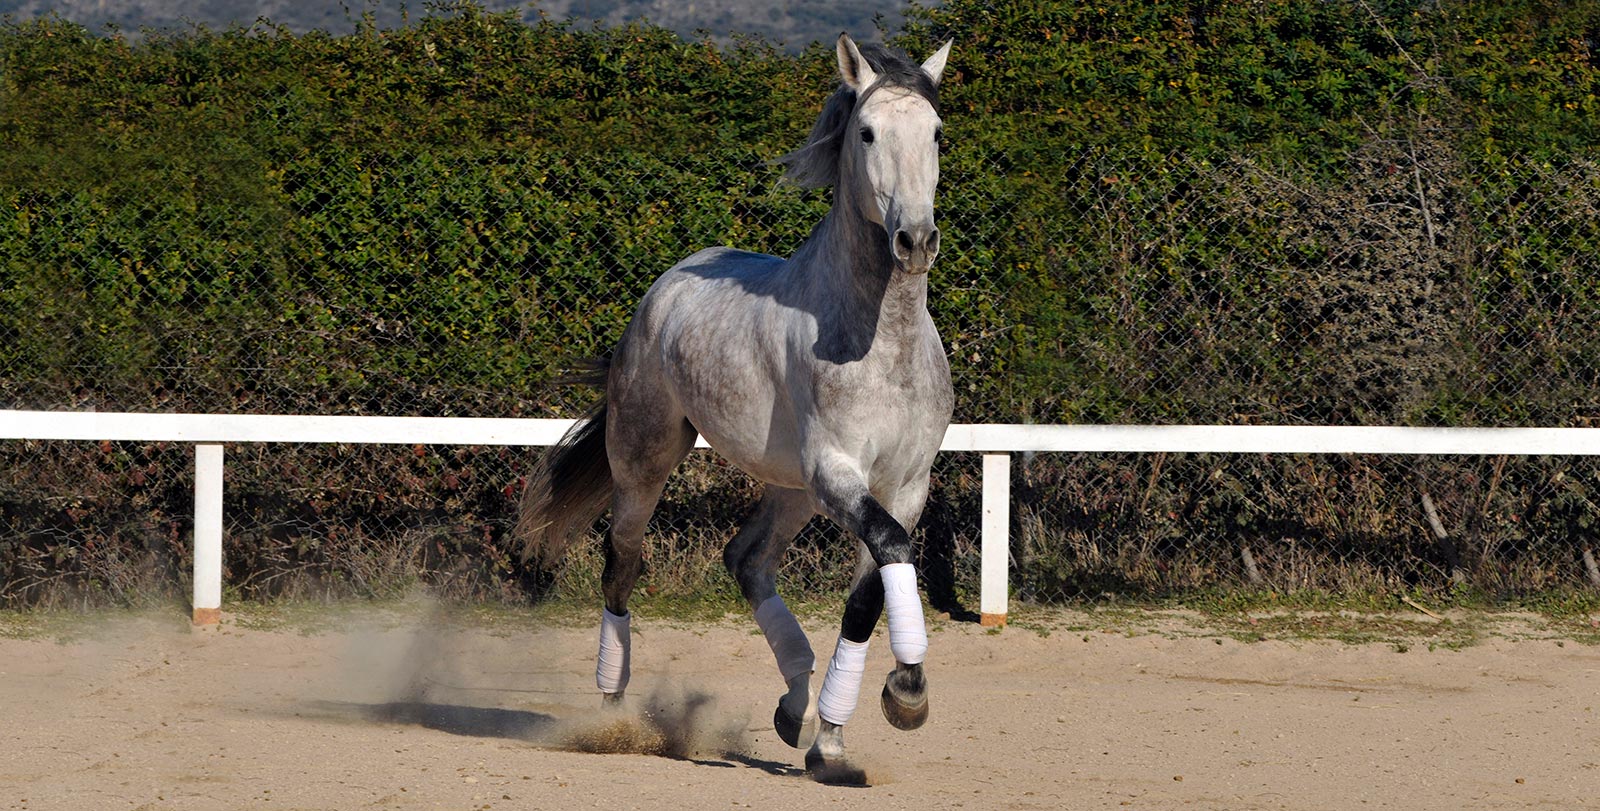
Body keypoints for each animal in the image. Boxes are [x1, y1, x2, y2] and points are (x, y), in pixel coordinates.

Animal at [516, 34, 954, 771]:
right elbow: (891, 550)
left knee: (746, 559)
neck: (879, 340)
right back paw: (614, 716)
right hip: (649, 462)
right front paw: (905, 694)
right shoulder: (838, 470)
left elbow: (870, 593)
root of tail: (663, 288)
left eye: (937, 132)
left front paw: (844, 736)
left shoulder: (905, 483)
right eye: (867, 132)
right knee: (621, 565)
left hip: (791, 489)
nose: (915, 241)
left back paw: (795, 705)